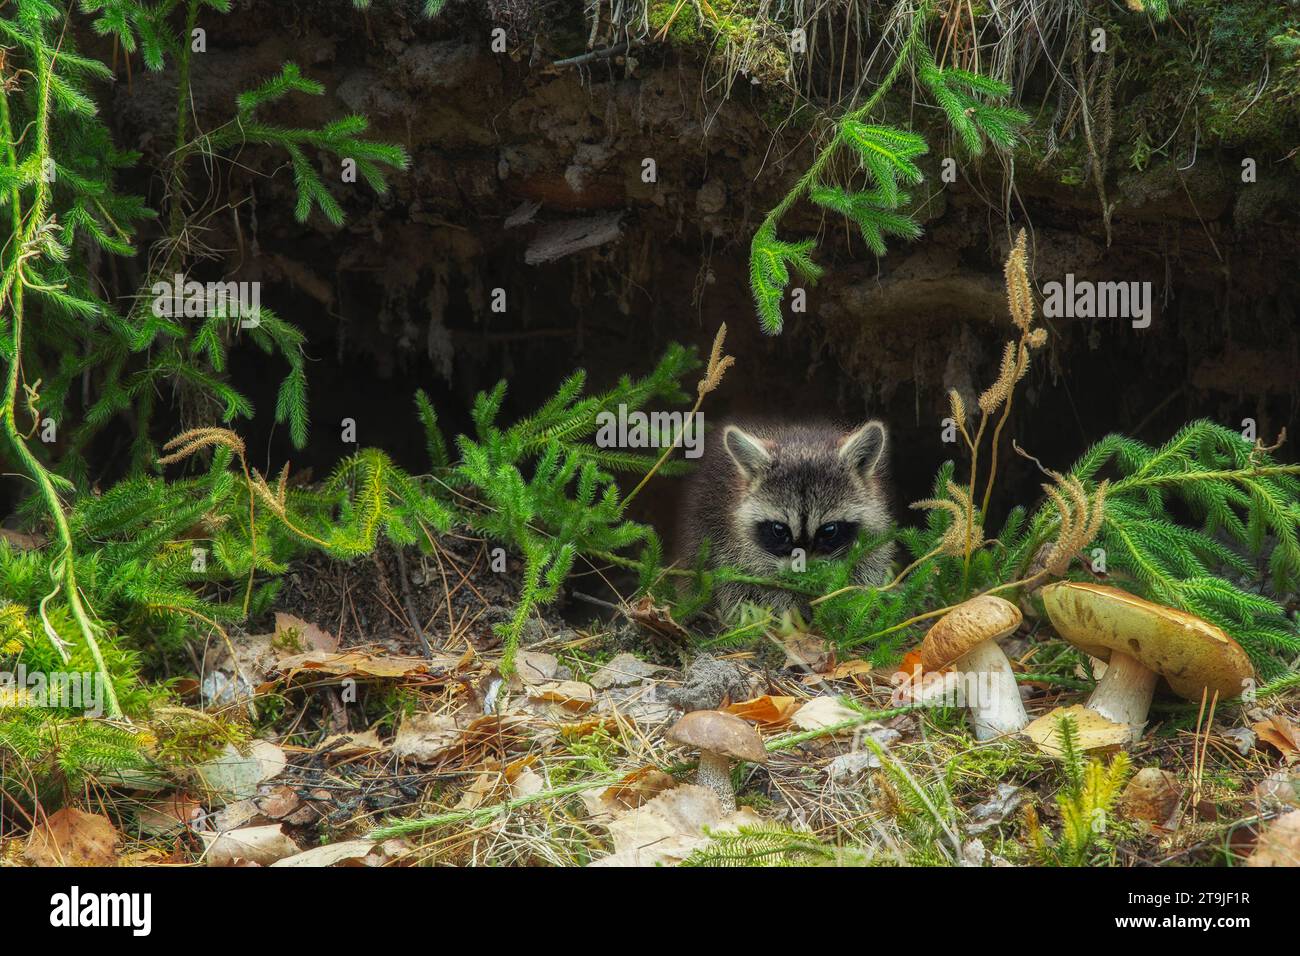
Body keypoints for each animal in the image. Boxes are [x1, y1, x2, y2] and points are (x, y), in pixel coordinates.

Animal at [677, 419, 896, 616]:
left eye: (829, 530)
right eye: (779, 530)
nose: (802, 576)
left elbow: (866, 570)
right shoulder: (730, 542)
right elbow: (751, 585)